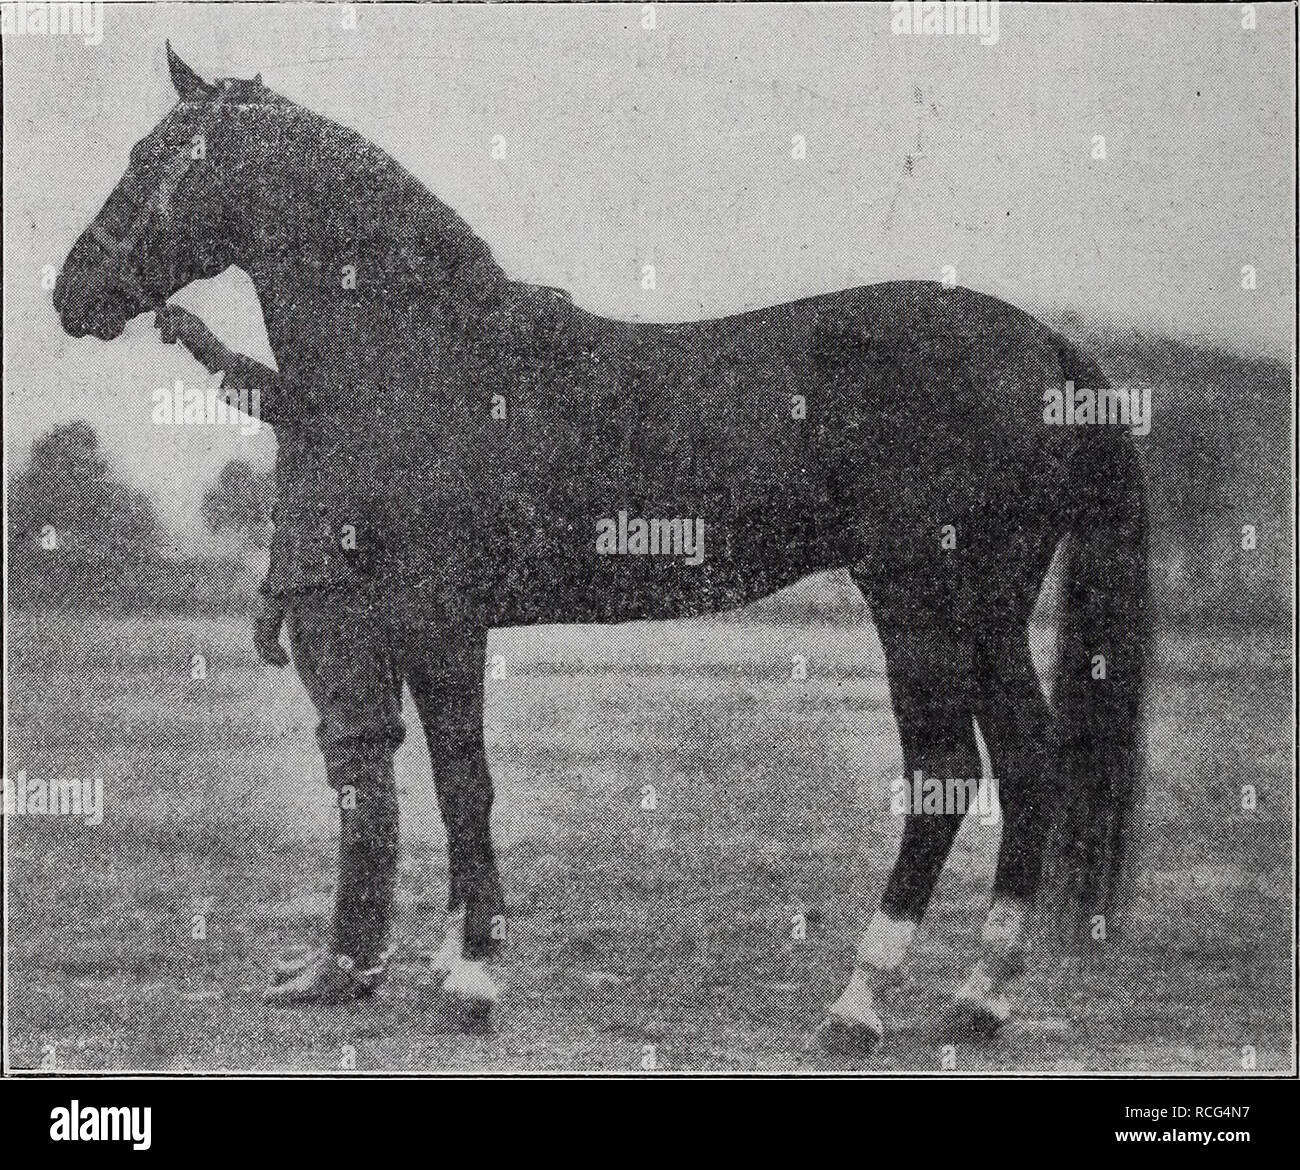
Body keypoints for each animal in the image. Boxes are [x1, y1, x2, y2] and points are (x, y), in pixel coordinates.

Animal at [53, 45, 1148, 1056]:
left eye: (151, 157)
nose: (73, 293)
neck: (432, 353)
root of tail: (1046, 344)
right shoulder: (417, 619)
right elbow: (444, 775)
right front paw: (453, 955)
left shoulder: (442, 615)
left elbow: (464, 775)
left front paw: (473, 979)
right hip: (988, 613)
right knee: (1029, 759)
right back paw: (979, 997)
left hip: (918, 601)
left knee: (944, 771)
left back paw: (859, 1001)